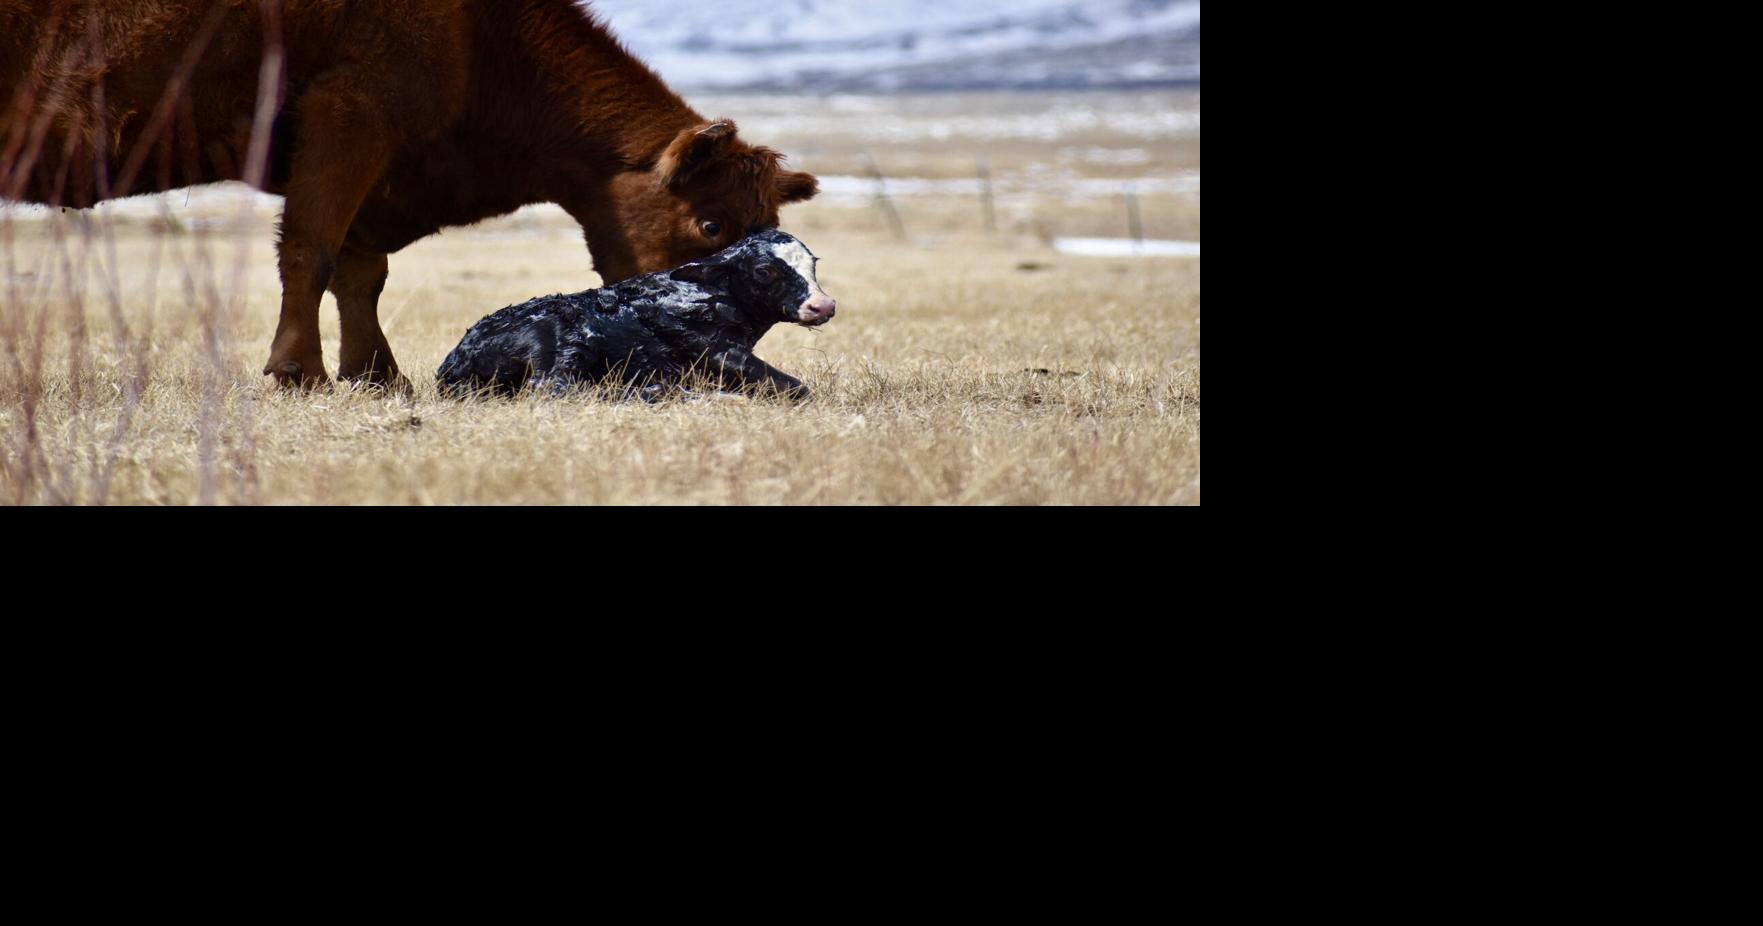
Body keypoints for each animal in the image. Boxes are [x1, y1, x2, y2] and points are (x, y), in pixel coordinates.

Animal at [0, 0, 820, 389]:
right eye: (710, 223)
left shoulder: (374, 158)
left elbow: (361, 271)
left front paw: (375, 373)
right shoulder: (351, 116)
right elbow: (312, 249)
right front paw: (300, 373)